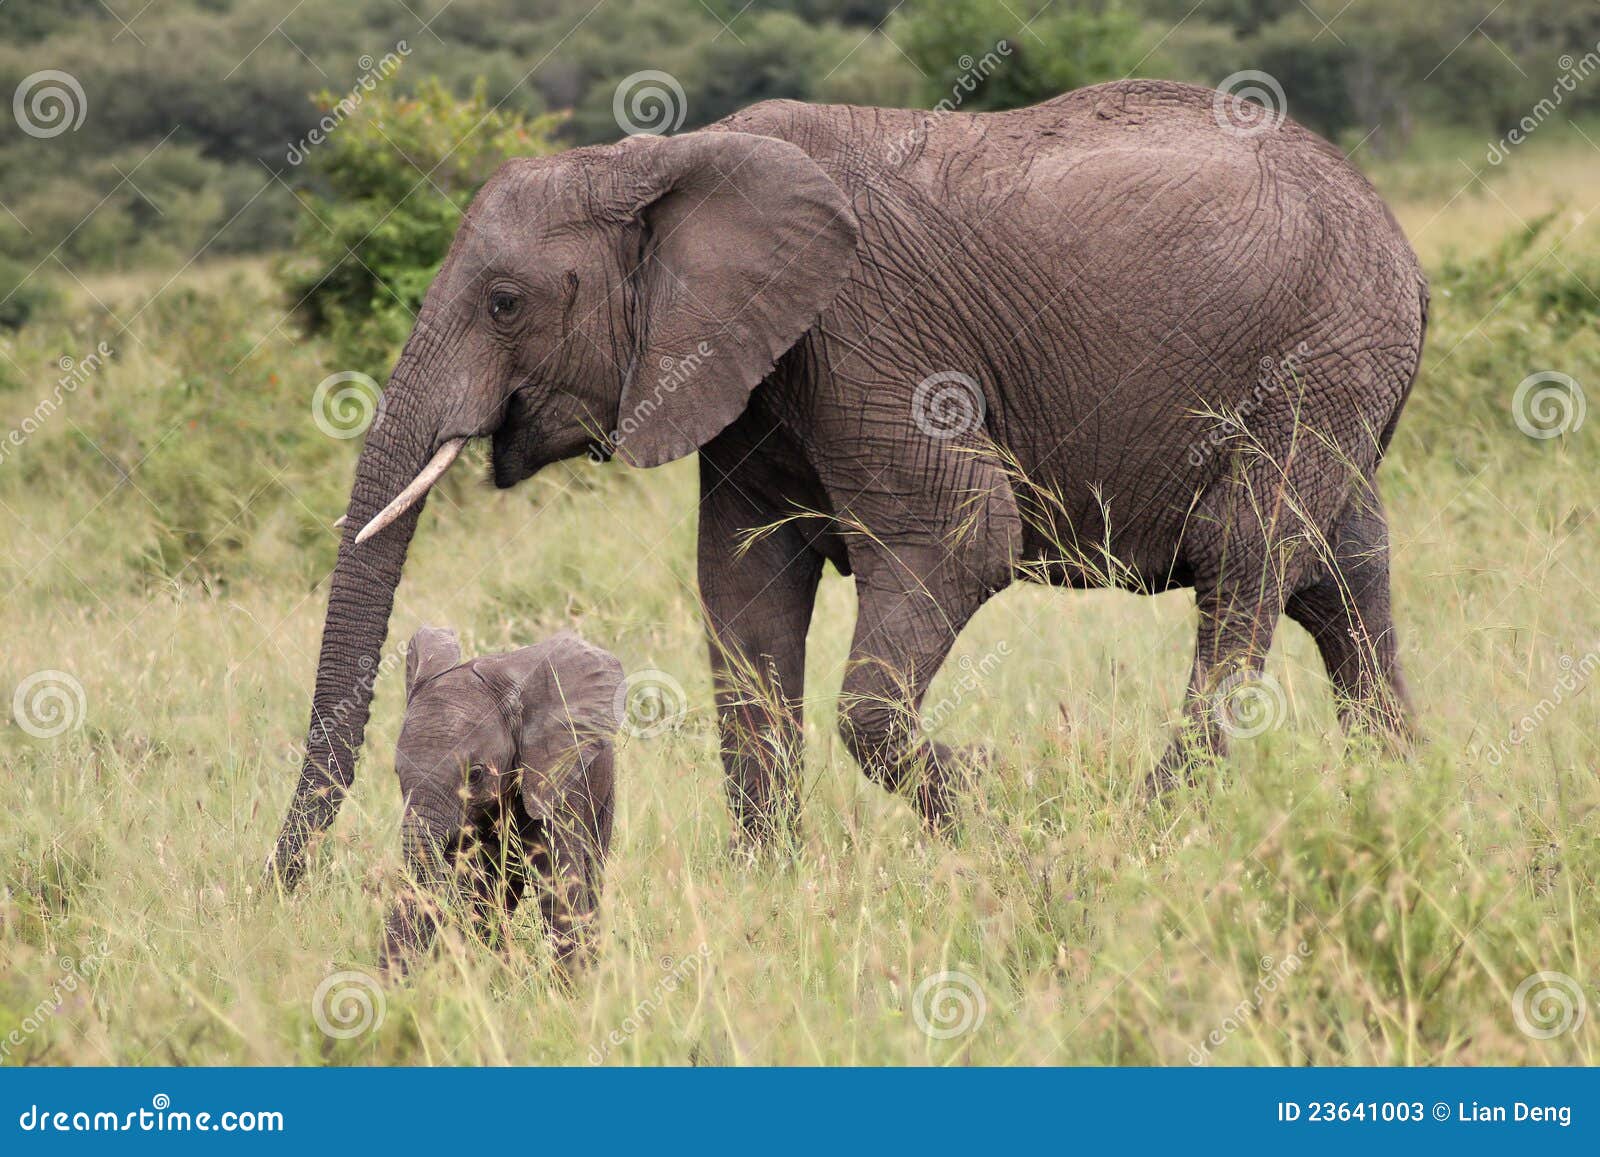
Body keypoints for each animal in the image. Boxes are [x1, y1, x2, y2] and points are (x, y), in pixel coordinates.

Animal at [268, 78, 1427, 887]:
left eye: (505, 303)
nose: (287, 883)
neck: (659, 164)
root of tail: (1406, 251)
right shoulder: (747, 375)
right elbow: (743, 592)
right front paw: (768, 884)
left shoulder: (865, 338)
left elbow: (962, 538)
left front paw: (1002, 810)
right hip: (1341, 368)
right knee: (1340, 575)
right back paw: (1401, 785)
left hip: (1315, 356)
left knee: (1246, 557)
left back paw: (1161, 821)